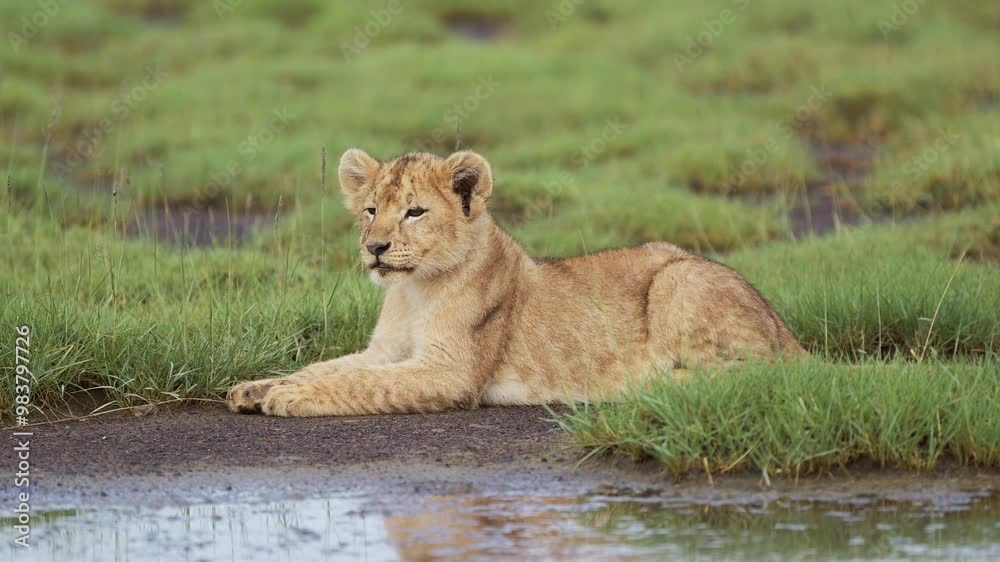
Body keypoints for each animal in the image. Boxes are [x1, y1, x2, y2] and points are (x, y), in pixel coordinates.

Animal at [227, 149, 804, 416]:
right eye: (371, 210)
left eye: (414, 212)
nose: (375, 248)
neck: (413, 289)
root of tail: (787, 327)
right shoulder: (386, 350)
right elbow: (333, 367)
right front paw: (258, 387)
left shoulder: (451, 373)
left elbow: (361, 383)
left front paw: (292, 396)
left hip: (679, 277)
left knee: (758, 375)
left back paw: (645, 384)